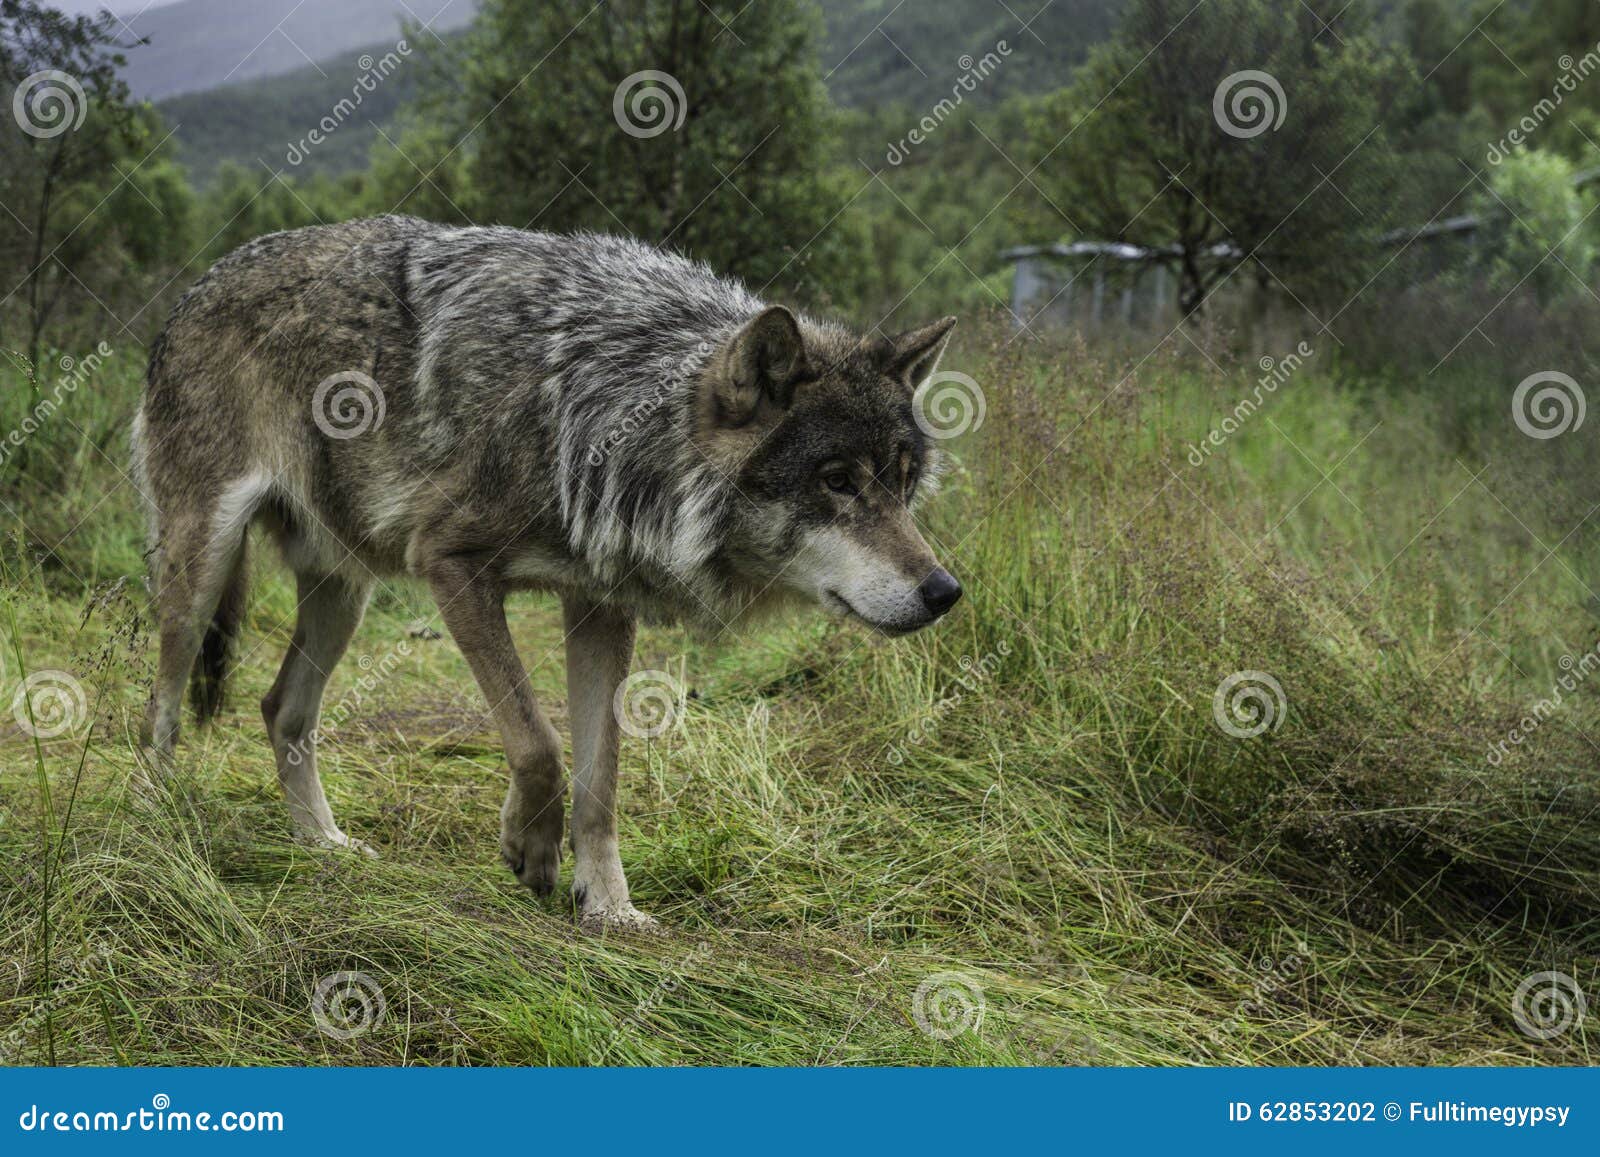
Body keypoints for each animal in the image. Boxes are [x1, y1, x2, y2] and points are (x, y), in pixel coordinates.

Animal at [131, 216, 962, 928]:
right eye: (837, 480)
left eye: (903, 480)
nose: (945, 591)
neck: (615, 413)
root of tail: (197, 287)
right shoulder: (451, 566)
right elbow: (538, 741)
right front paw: (529, 848)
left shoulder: (600, 607)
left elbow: (601, 778)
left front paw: (610, 907)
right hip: (201, 567)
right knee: (160, 706)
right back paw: (163, 826)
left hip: (344, 593)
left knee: (281, 709)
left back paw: (322, 843)